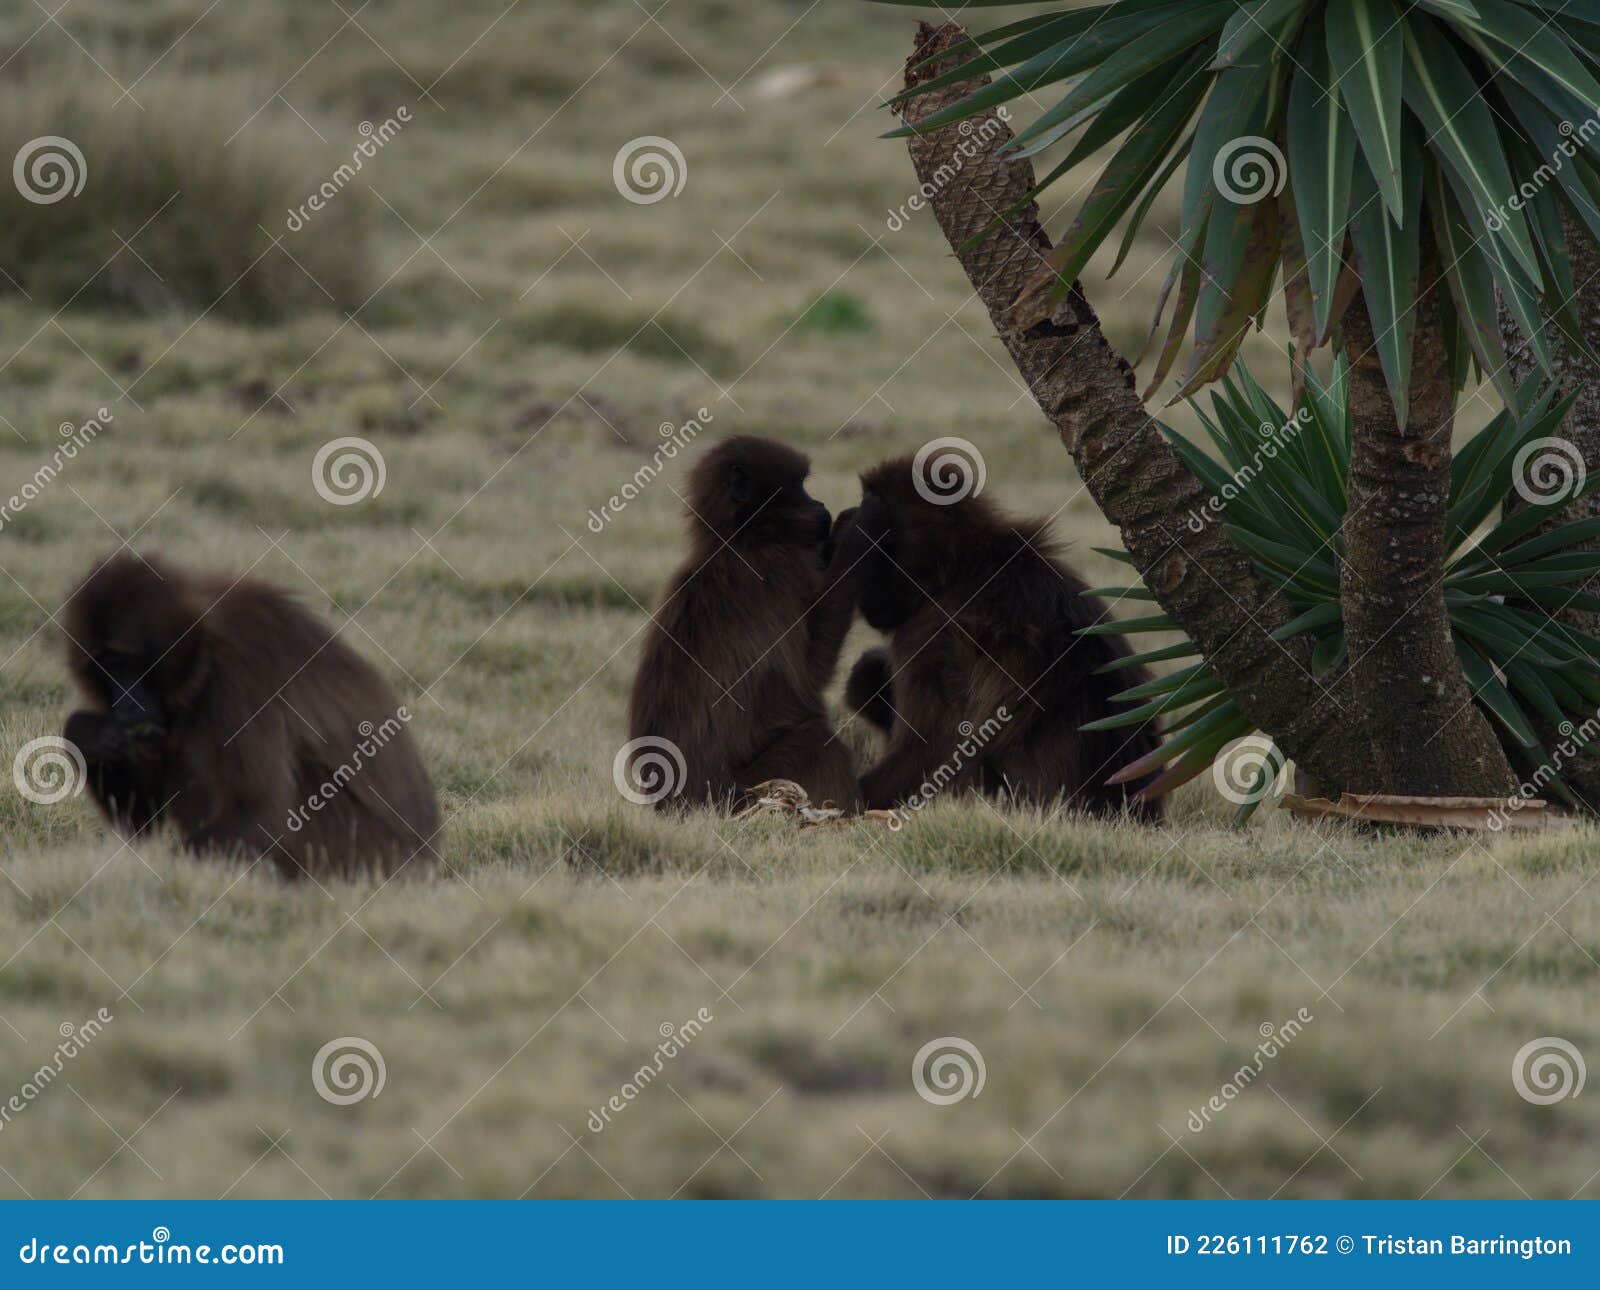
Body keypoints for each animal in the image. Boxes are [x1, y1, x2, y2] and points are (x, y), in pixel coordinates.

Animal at [61, 552, 441, 881]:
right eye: (106, 669)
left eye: (129, 665)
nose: (124, 703)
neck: (203, 652)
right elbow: (142, 821)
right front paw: (88, 734)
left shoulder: (241, 681)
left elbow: (264, 811)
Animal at [625, 435, 863, 810]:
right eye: (800, 485)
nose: (821, 504)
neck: (739, 540)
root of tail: (678, 802)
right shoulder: (777, 576)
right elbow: (810, 673)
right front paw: (852, 534)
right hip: (746, 792)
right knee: (817, 744)